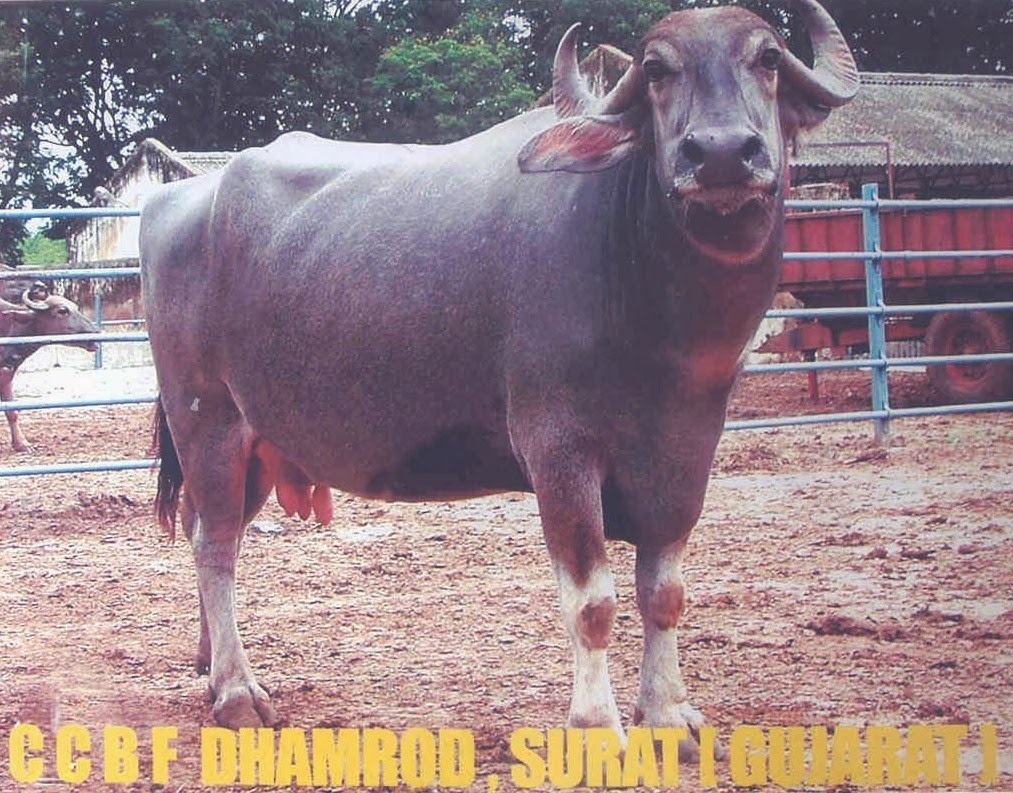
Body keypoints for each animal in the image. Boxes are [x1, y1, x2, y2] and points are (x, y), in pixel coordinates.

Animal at [142, 0, 857, 751]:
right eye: (657, 69)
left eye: (769, 57)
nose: (719, 152)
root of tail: (180, 198)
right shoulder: (558, 449)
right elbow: (592, 600)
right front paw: (595, 727)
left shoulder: (686, 450)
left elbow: (663, 592)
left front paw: (667, 712)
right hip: (207, 421)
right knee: (215, 544)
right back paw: (236, 691)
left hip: (257, 444)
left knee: (205, 528)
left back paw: (208, 668)